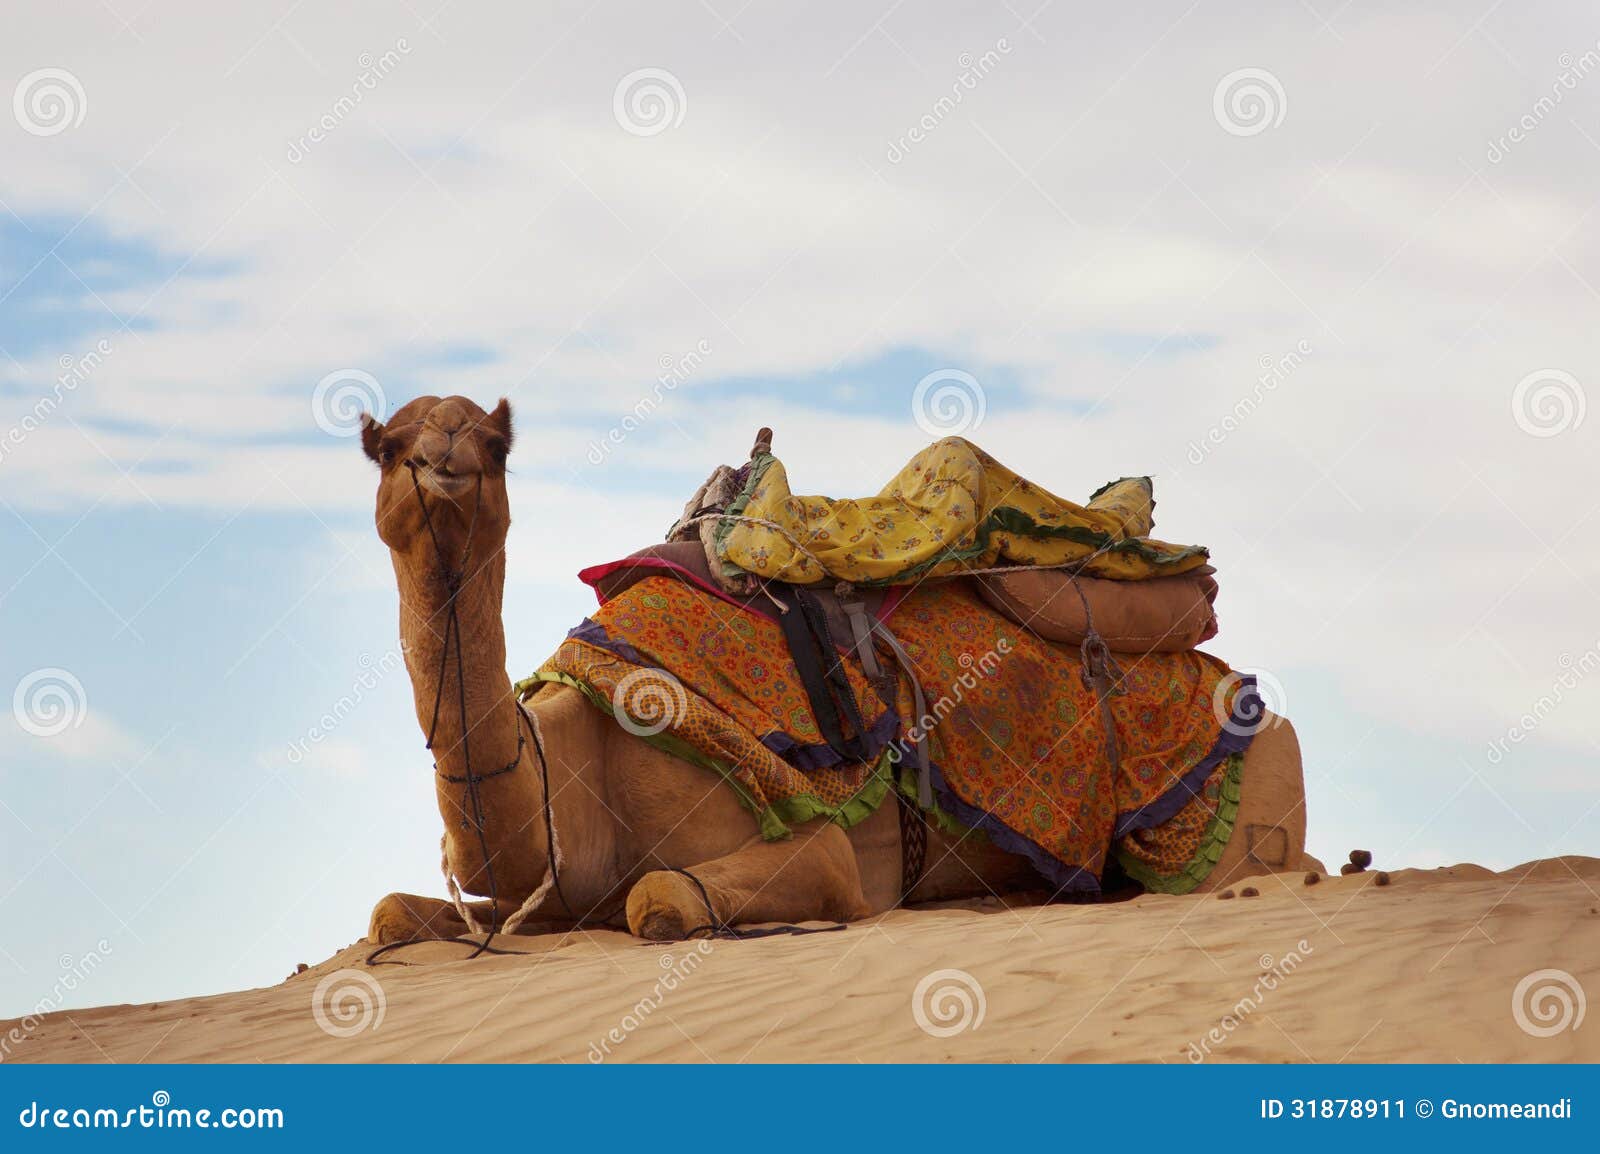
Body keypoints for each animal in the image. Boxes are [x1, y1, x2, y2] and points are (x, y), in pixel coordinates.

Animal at [361, 395, 1315, 945]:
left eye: (496, 444)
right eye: (388, 444)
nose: (443, 467)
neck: (576, 767)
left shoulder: (816, 844)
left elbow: (658, 899)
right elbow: (391, 911)